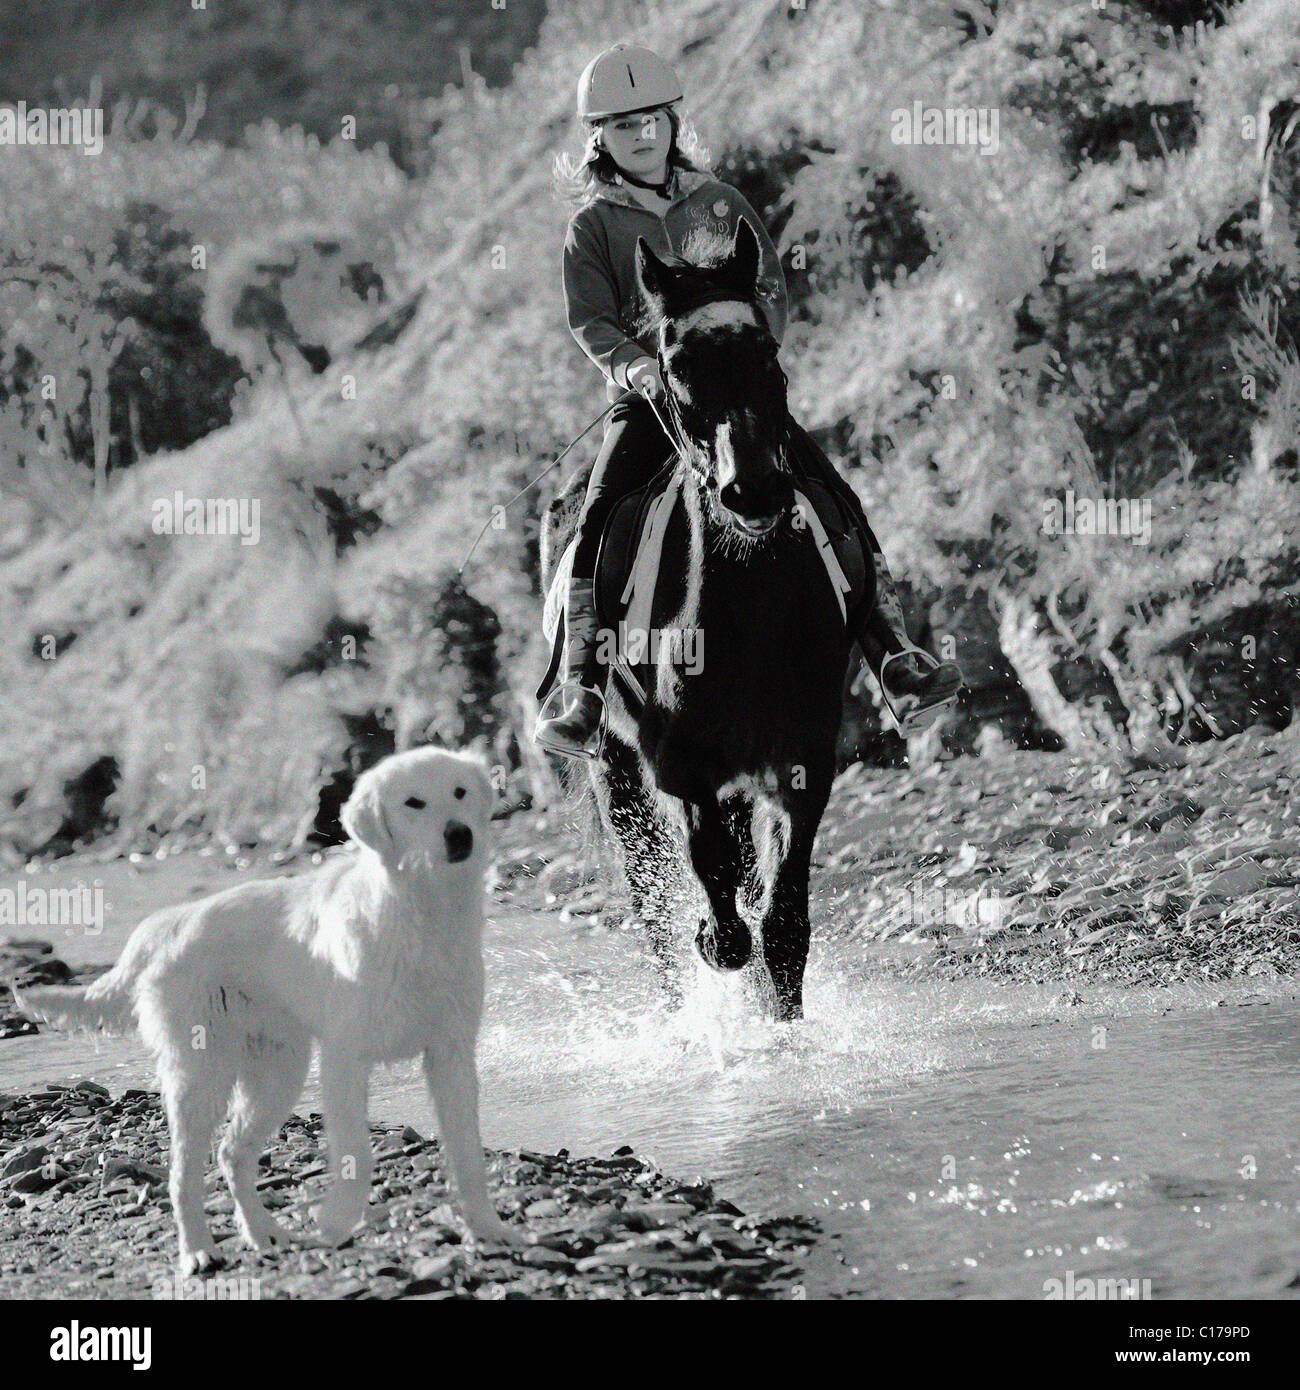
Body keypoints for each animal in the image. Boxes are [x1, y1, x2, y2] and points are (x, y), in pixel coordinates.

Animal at [540, 219, 869, 1021]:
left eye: (768, 350)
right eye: (677, 362)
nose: (751, 491)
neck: (747, 610)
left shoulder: (802, 758)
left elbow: (781, 919)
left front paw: (782, 1026)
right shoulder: (679, 765)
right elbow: (718, 910)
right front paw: (723, 958)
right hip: (615, 771)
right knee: (654, 910)